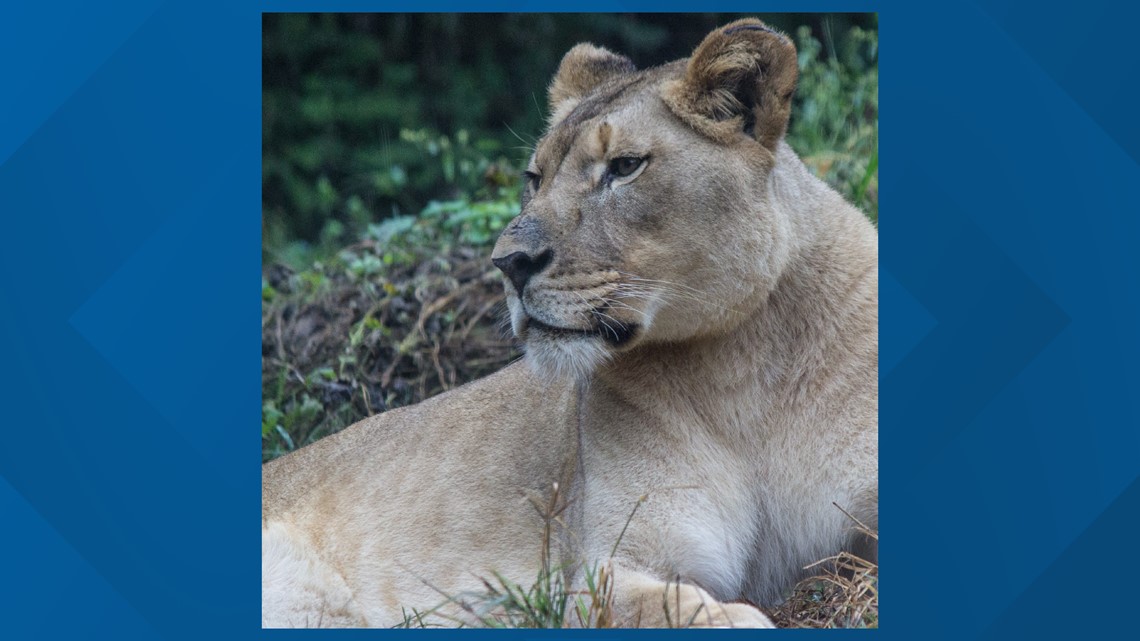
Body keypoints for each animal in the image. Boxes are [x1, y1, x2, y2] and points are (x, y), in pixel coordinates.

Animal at [262, 18, 877, 628]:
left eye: (625, 167)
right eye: (535, 177)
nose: (508, 263)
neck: (746, 373)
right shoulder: (601, 572)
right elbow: (704, 613)